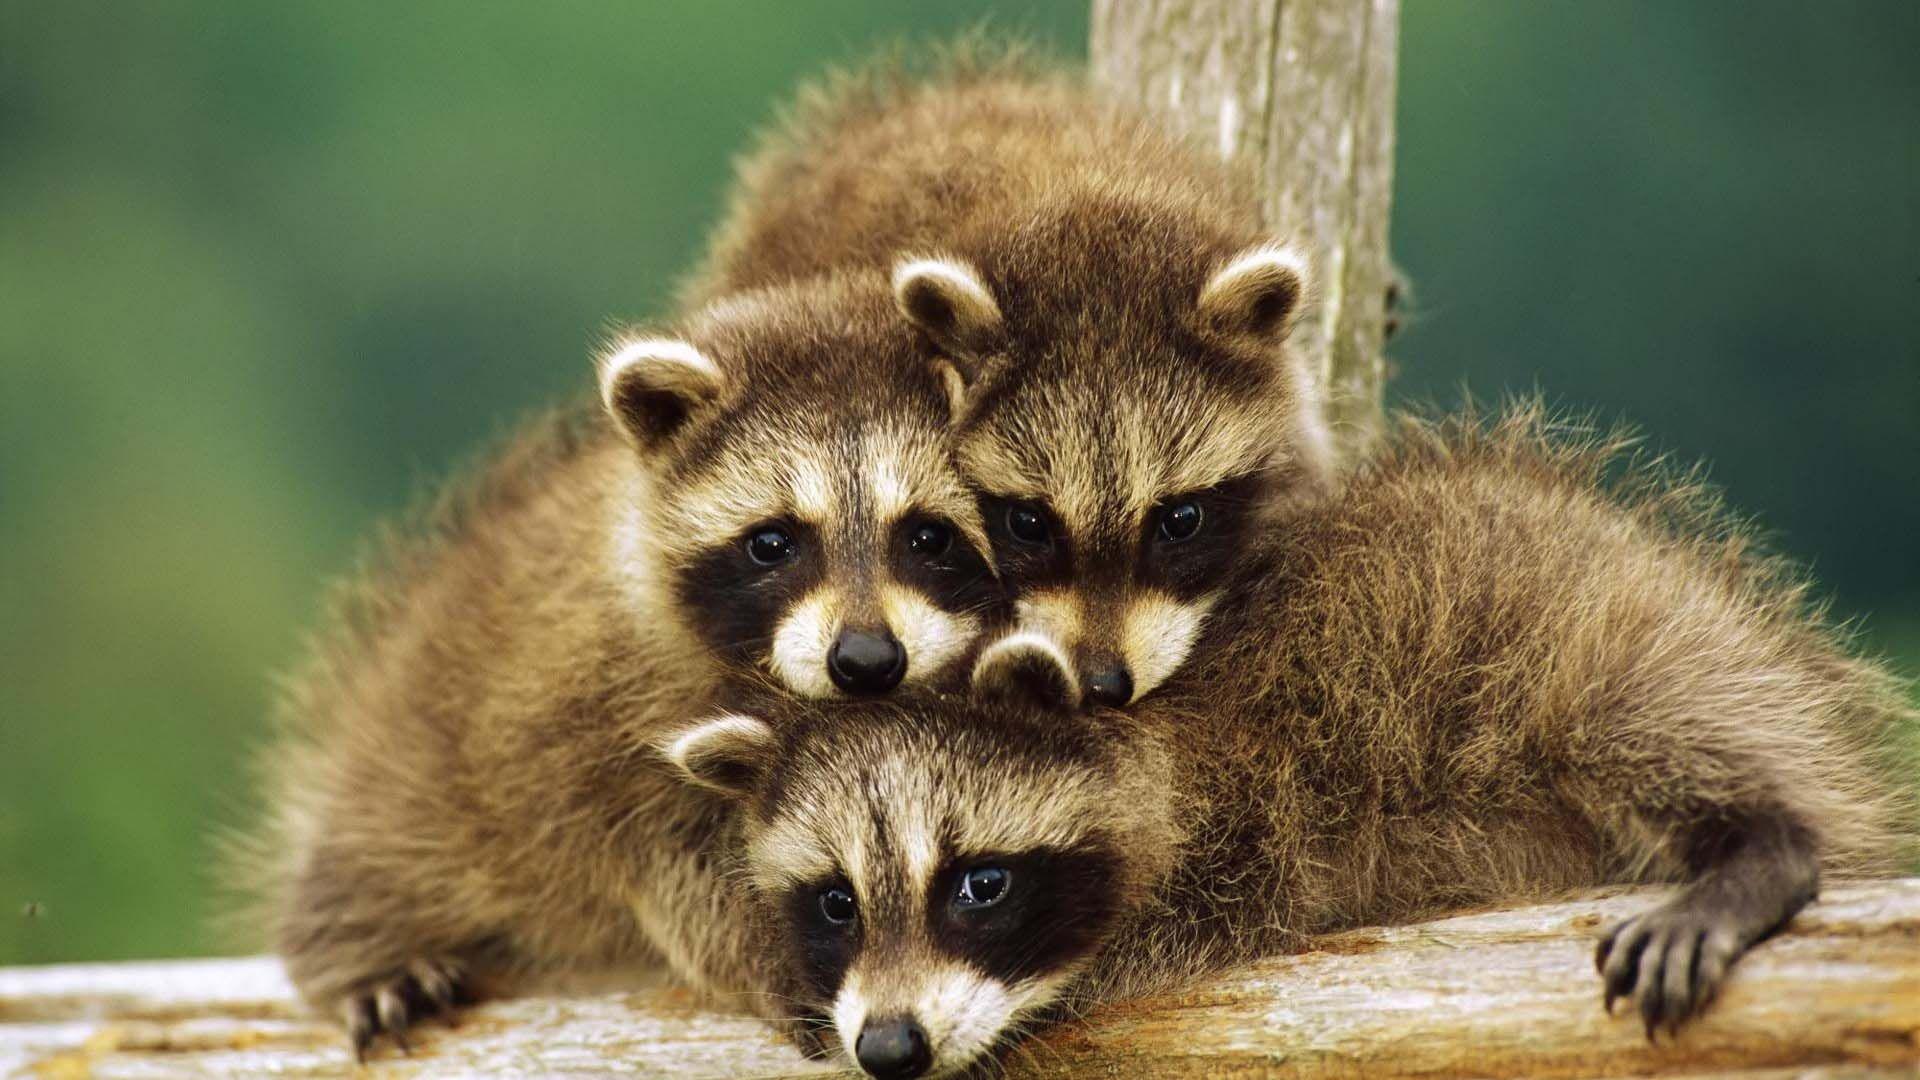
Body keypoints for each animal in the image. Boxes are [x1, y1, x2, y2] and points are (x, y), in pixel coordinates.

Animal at [243, 269, 1003, 1057]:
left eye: (929, 535)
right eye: (773, 542)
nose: (865, 659)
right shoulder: (598, 722)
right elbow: (675, 870)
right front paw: (787, 952)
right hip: (413, 768)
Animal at [660, 407, 1910, 1078]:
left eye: (979, 885)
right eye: (835, 903)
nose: (891, 1047)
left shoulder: (1248, 813)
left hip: (1606, 627)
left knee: (1641, 717)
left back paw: (1766, 843)